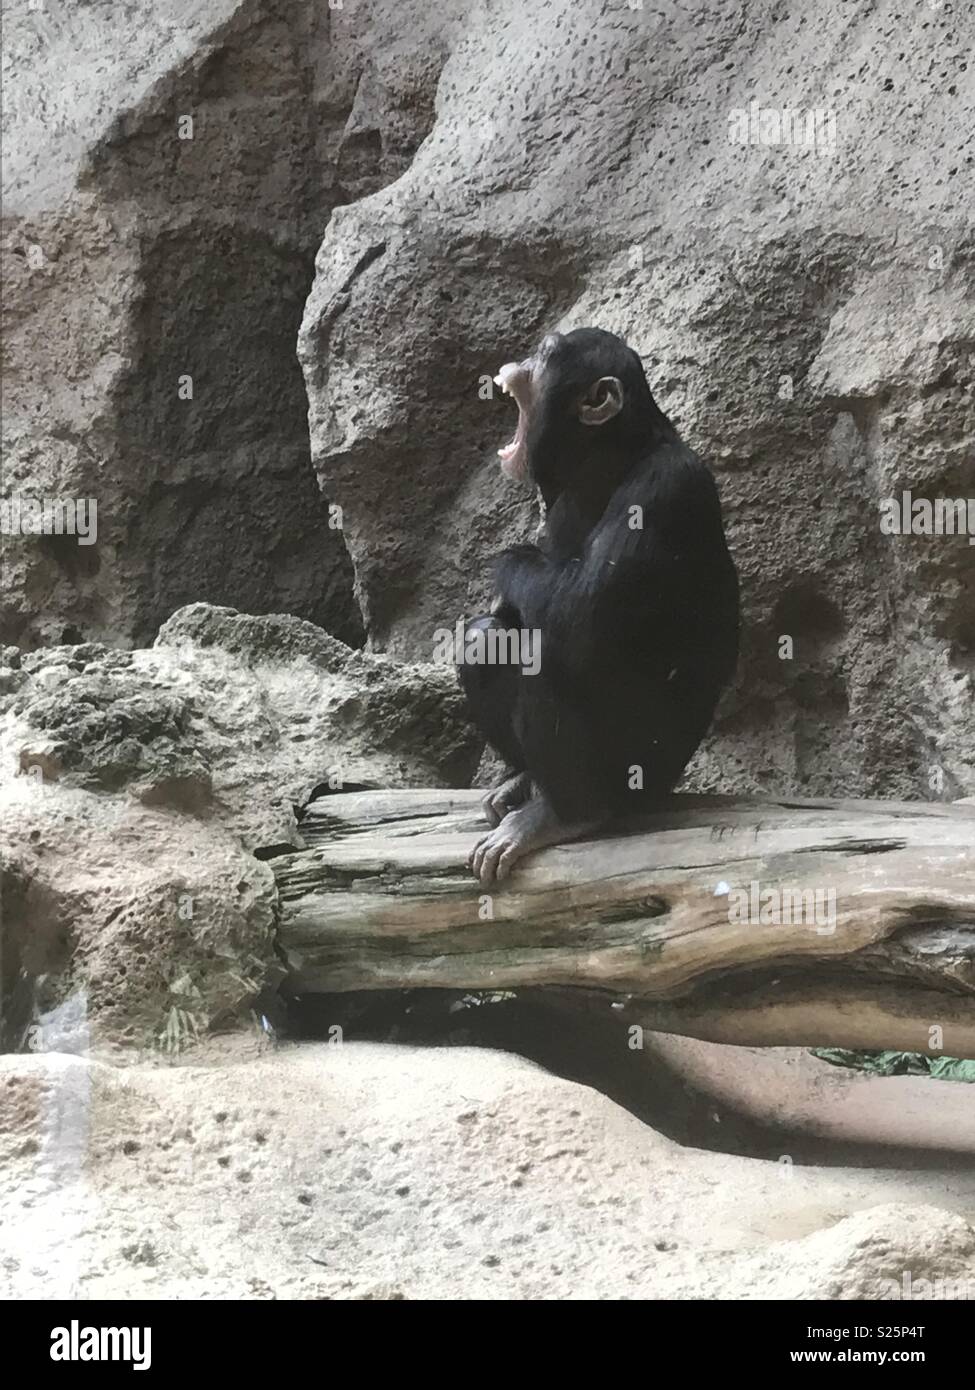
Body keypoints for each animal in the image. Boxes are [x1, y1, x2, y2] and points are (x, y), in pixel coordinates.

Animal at [458, 327, 739, 885]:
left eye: (547, 353)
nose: (520, 359)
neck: (607, 463)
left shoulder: (664, 488)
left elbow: (576, 616)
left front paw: (508, 566)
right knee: (487, 637)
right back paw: (523, 782)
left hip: (639, 776)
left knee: (543, 652)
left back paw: (562, 815)